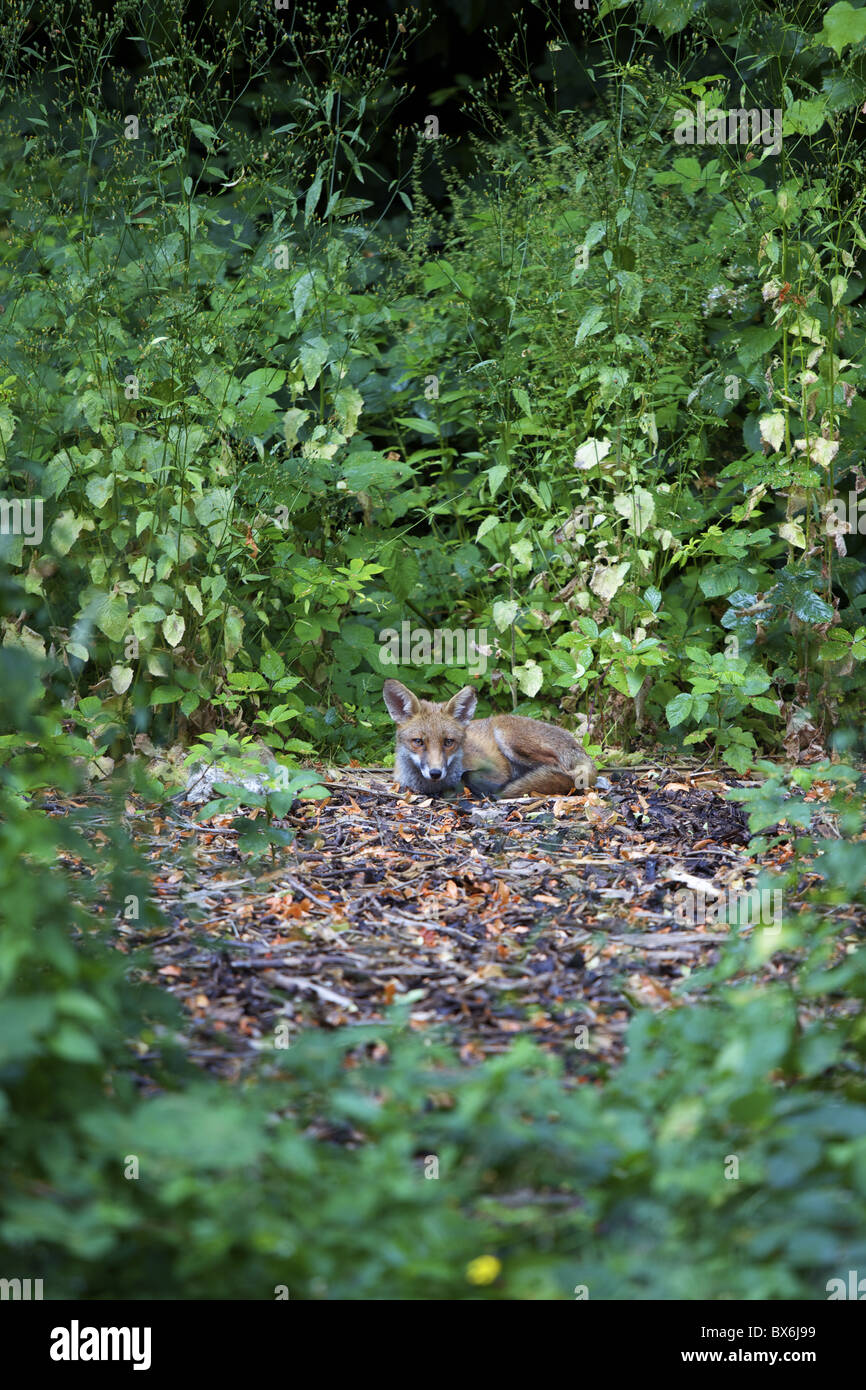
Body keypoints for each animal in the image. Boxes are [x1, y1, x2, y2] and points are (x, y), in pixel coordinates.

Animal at [383, 678, 596, 799]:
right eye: (418, 742)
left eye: (448, 742)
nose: (435, 773)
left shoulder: (497, 769)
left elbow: (467, 775)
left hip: (507, 736)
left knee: (562, 773)